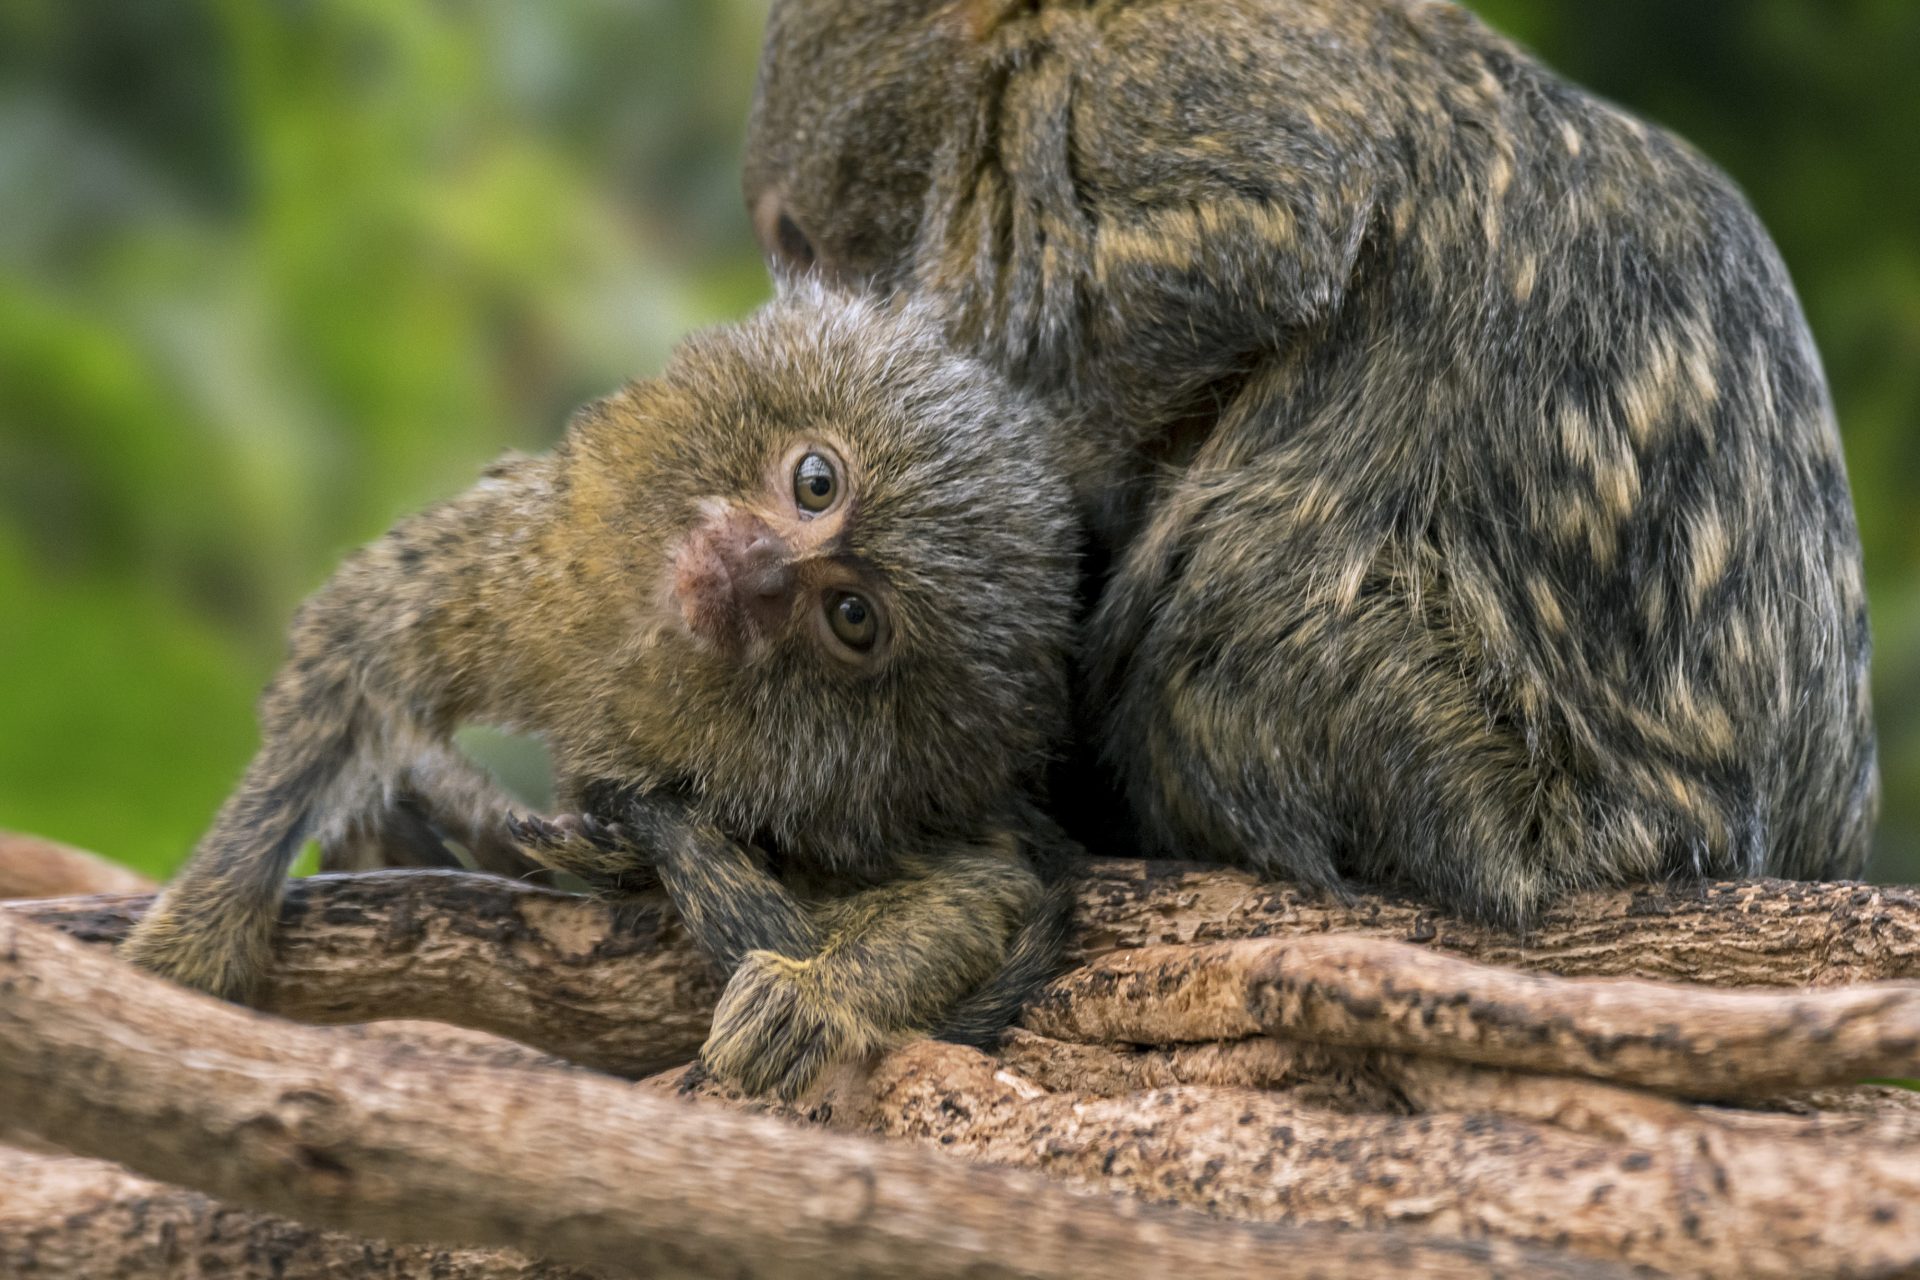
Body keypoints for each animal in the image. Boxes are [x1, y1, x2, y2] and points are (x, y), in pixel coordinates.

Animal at [122, 284, 1083, 1099]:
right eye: (817, 482)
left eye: (850, 615)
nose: (757, 568)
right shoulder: (530, 564)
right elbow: (362, 647)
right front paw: (195, 940)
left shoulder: (847, 804)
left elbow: (983, 883)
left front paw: (811, 994)